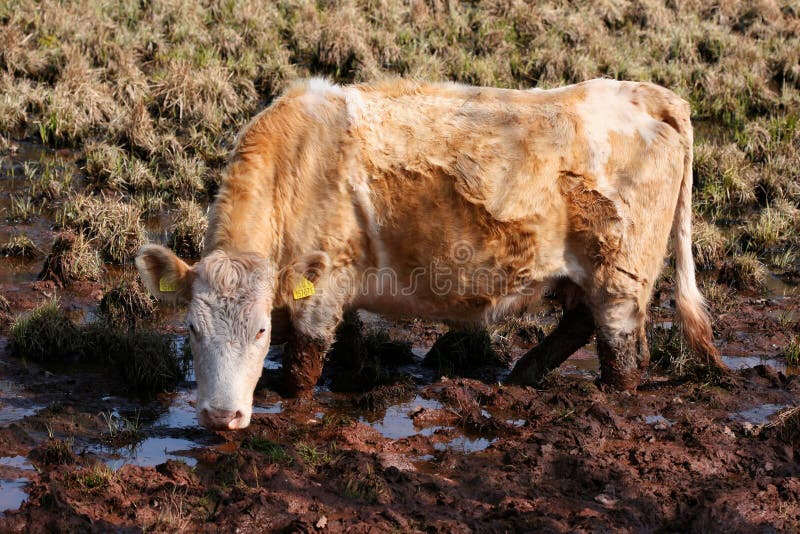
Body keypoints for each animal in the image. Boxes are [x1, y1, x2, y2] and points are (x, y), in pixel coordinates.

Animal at [135, 77, 725, 431]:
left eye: (259, 330)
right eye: (192, 329)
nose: (220, 417)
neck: (296, 165)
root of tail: (650, 94)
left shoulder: (319, 294)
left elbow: (304, 364)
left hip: (620, 277)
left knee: (620, 354)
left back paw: (604, 399)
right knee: (578, 323)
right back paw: (522, 375)